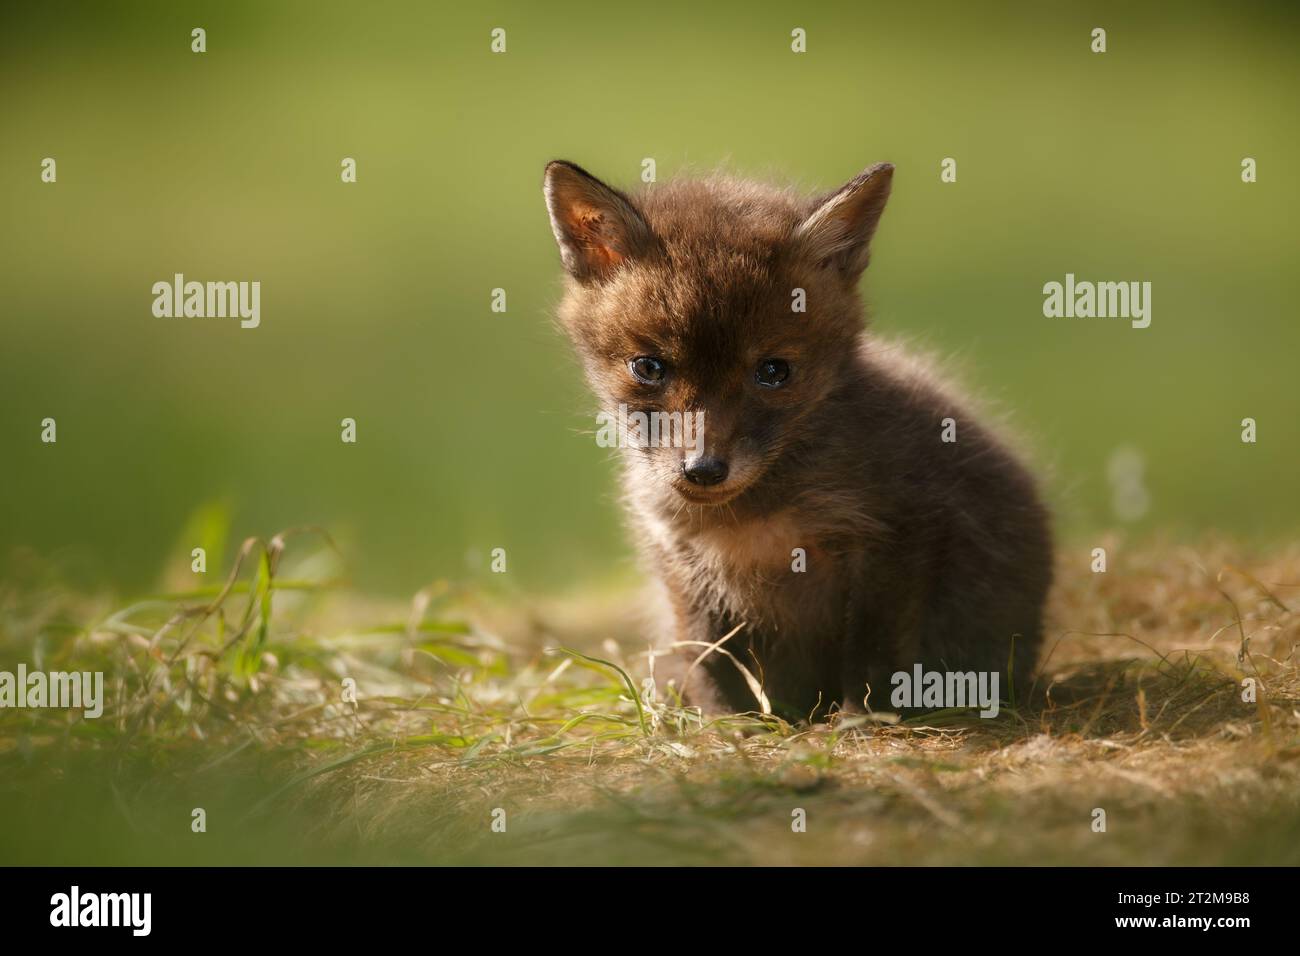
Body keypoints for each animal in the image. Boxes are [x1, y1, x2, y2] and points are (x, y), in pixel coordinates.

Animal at [543, 159, 1053, 721]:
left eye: (773, 371)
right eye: (649, 368)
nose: (703, 469)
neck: (748, 518)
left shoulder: (897, 532)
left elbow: (873, 650)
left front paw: (862, 718)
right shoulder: (680, 557)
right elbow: (708, 655)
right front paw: (726, 723)